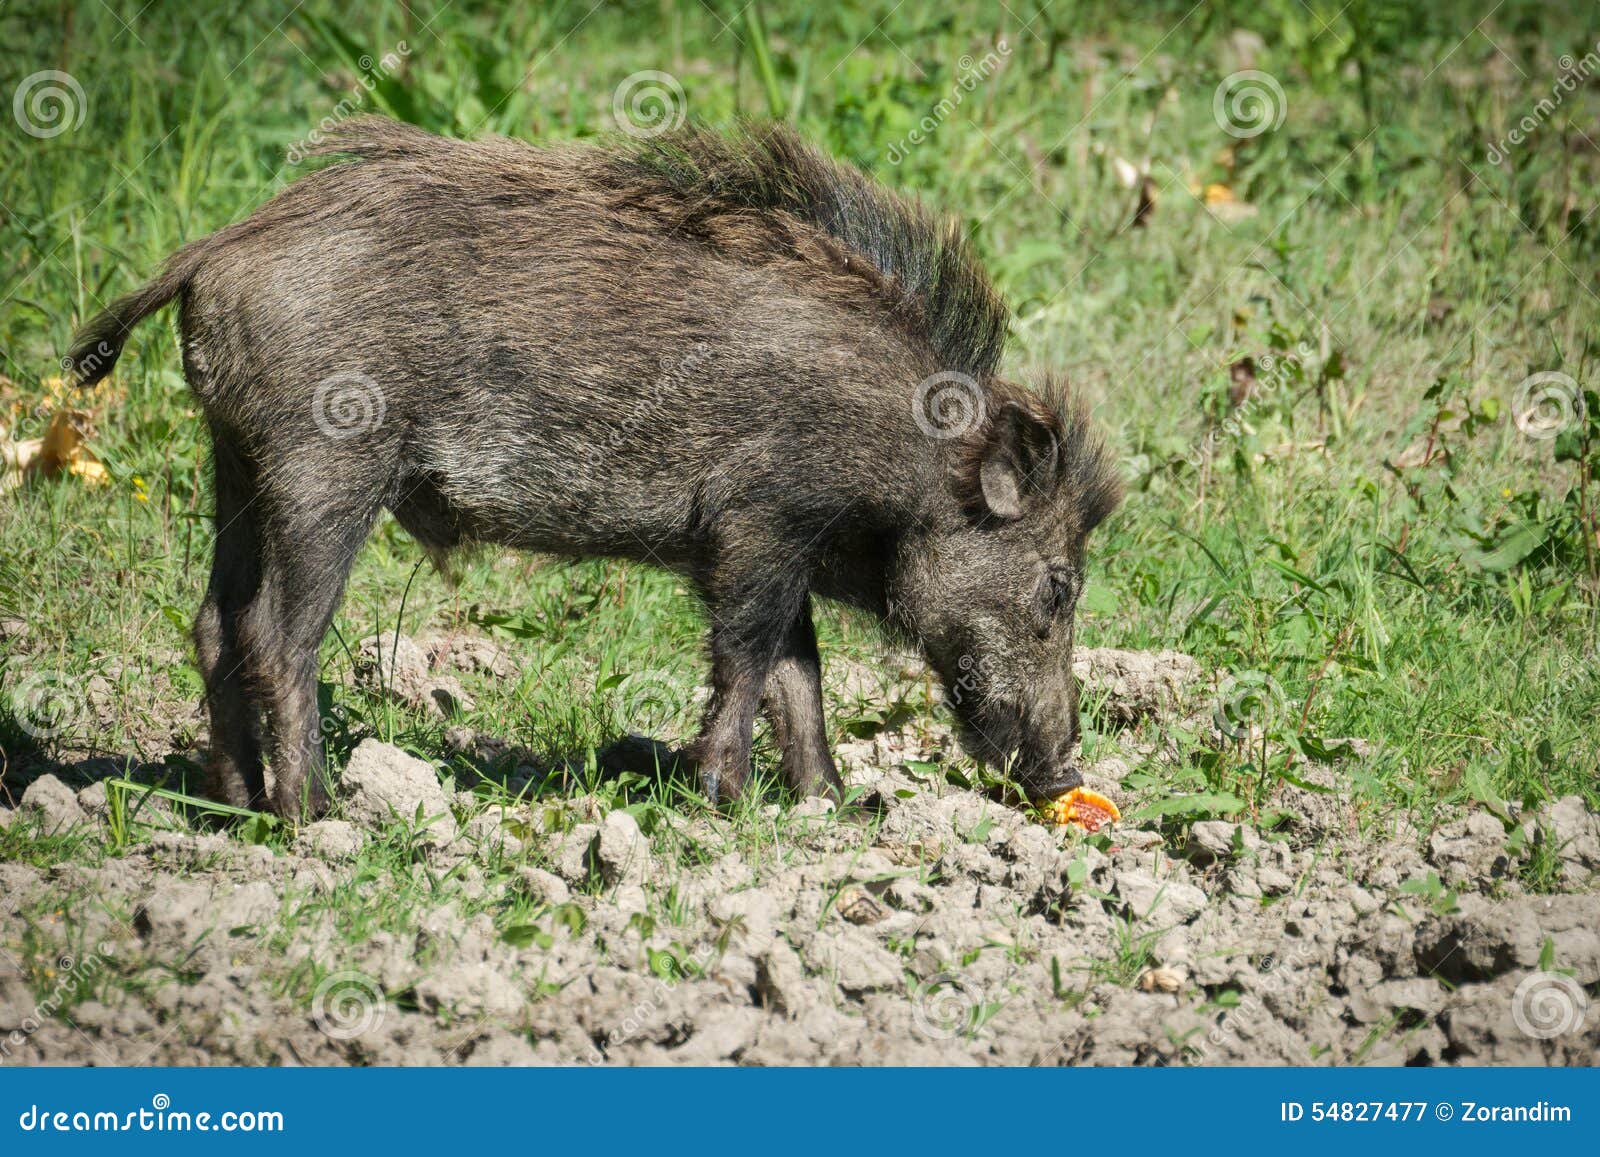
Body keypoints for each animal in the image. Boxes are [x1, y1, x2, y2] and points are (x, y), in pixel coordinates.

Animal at [67, 118, 1120, 819]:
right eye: (1059, 585)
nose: (1069, 775)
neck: (906, 457)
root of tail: (216, 250)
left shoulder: (770, 548)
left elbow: (799, 671)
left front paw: (835, 804)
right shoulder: (758, 526)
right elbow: (753, 660)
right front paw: (723, 797)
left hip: (233, 460)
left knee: (213, 621)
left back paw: (234, 804)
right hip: (322, 469)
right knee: (276, 636)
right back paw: (316, 814)